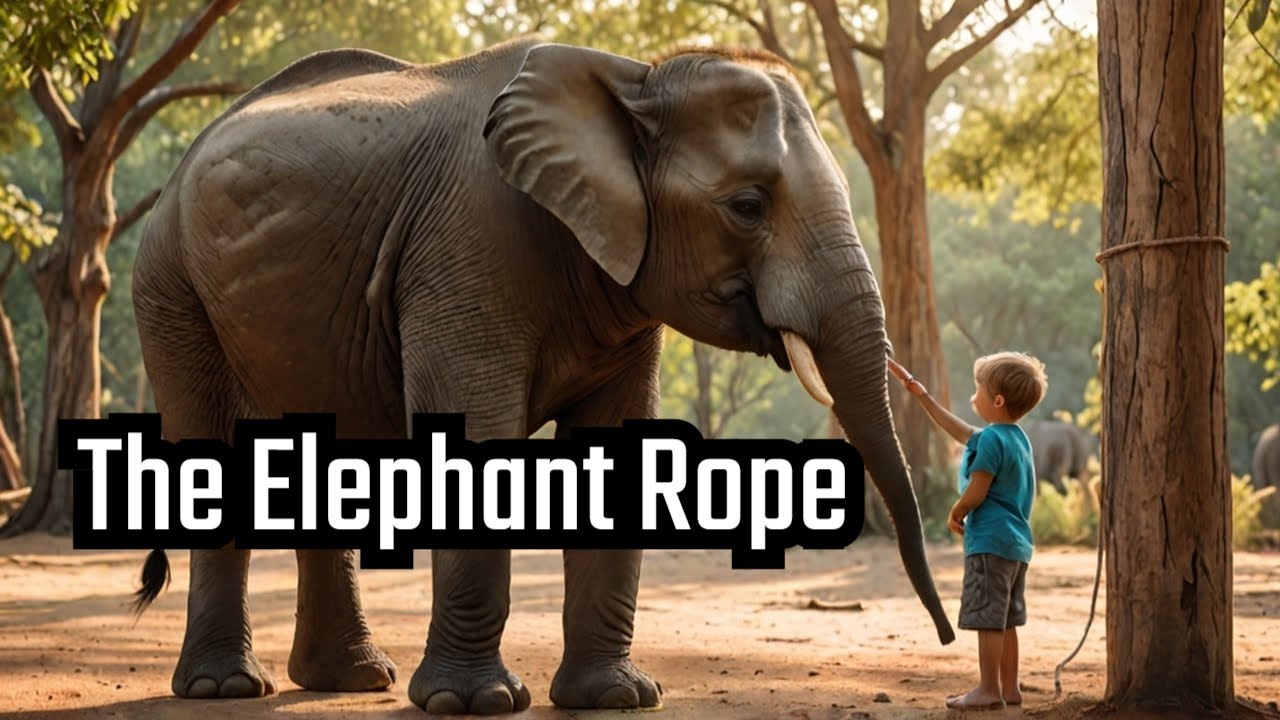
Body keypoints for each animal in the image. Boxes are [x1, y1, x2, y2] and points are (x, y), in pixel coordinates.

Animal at [130, 37, 956, 714]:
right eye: (747, 206)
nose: (947, 636)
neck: (635, 77)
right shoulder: (467, 244)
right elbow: (476, 429)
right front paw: (477, 705)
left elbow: (617, 443)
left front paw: (616, 700)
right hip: (169, 285)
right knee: (209, 431)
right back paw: (226, 689)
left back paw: (354, 681)